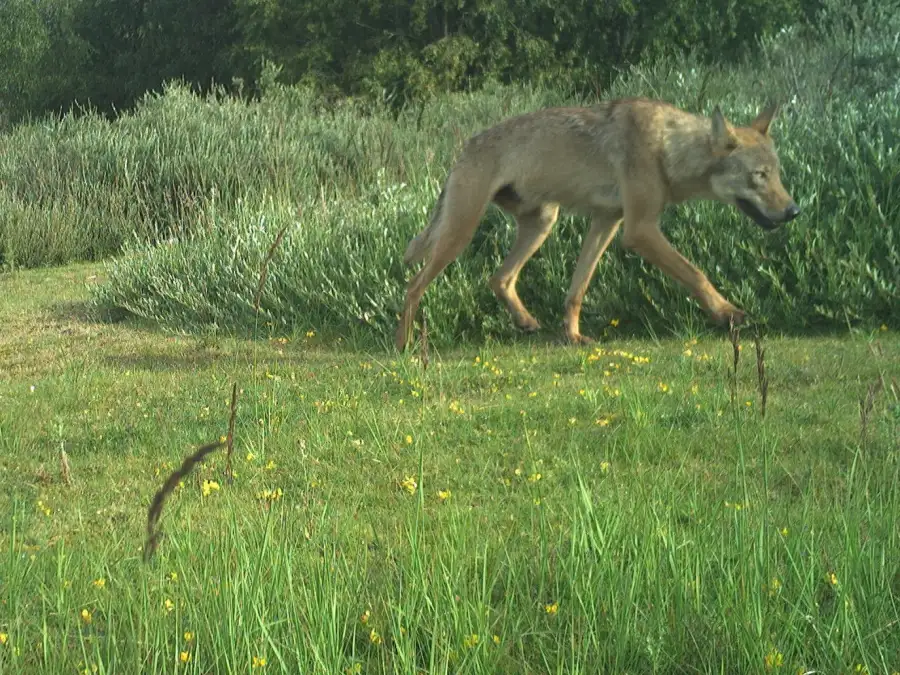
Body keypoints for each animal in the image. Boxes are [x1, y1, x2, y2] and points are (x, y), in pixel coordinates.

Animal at [395, 97, 800, 350]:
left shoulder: (607, 221)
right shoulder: (639, 230)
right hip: (460, 234)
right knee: (413, 287)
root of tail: (463, 148)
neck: (667, 148)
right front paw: (728, 314)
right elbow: (696, 273)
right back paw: (404, 347)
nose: (794, 211)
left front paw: (573, 338)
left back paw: (526, 322)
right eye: (759, 175)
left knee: (499, 278)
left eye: (778, 174)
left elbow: (577, 290)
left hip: (543, 222)